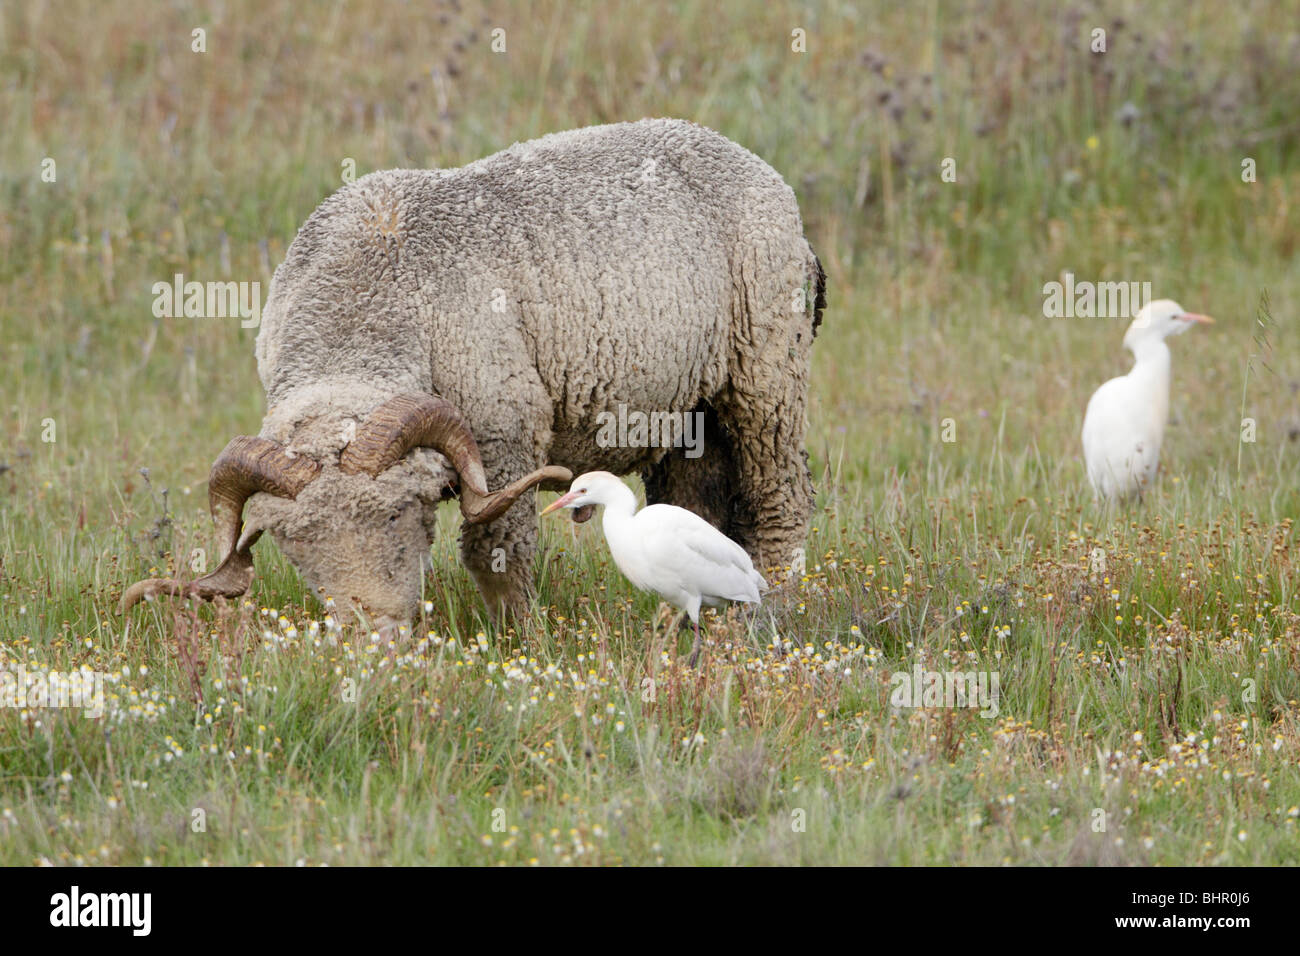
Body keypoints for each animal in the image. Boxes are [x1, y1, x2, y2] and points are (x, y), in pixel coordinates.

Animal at [122, 118, 826, 630]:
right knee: (696, 504)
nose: (375, 638)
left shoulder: (504, 431)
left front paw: (521, 641)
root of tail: (756, 165)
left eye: (403, 516)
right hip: (685, 412)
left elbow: (496, 553)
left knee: (779, 505)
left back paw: (770, 614)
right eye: (292, 544)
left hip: (766, 378)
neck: (368, 300)